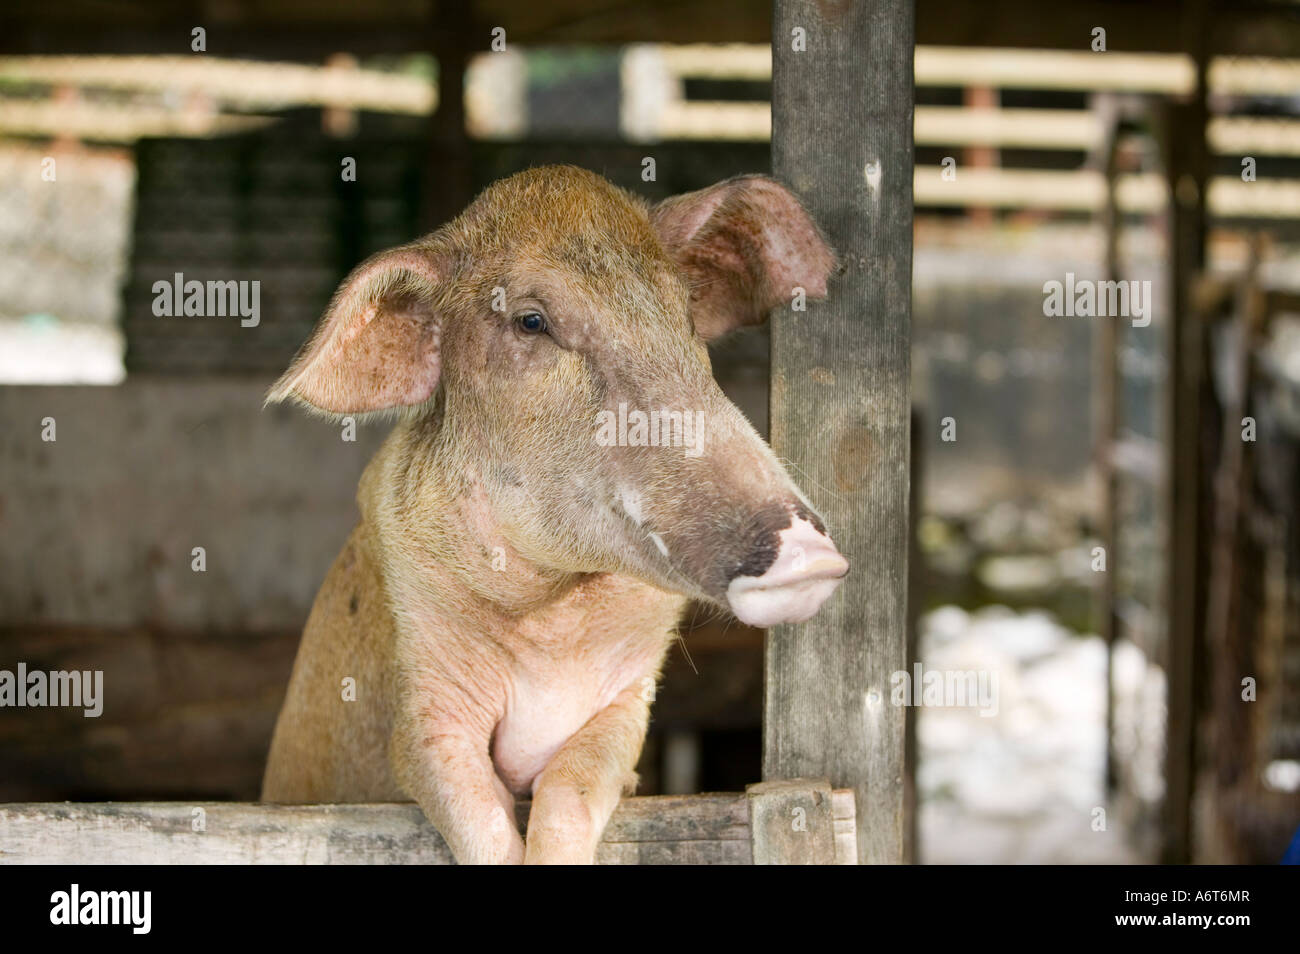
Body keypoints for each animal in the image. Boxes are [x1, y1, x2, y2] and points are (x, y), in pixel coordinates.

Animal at [260, 165, 848, 864]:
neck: (551, 615)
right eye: (532, 321)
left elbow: (575, 785)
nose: (808, 549)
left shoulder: (627, 701)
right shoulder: (424, 700)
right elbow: (470, 806)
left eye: (684, 314)